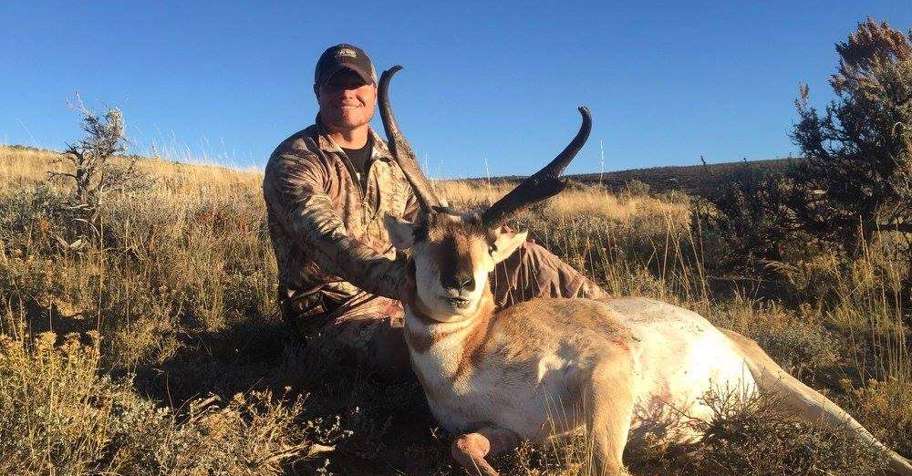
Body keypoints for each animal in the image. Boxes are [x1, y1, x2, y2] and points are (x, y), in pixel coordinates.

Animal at [376, 66, 912, 476]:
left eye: (489, 246)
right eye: (422, 233)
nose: (460, 283)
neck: (471, 358)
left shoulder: (606, 369)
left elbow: (606, 465)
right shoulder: (507, 428)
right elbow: (463, 446)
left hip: (792, 386)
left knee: (859, 432)